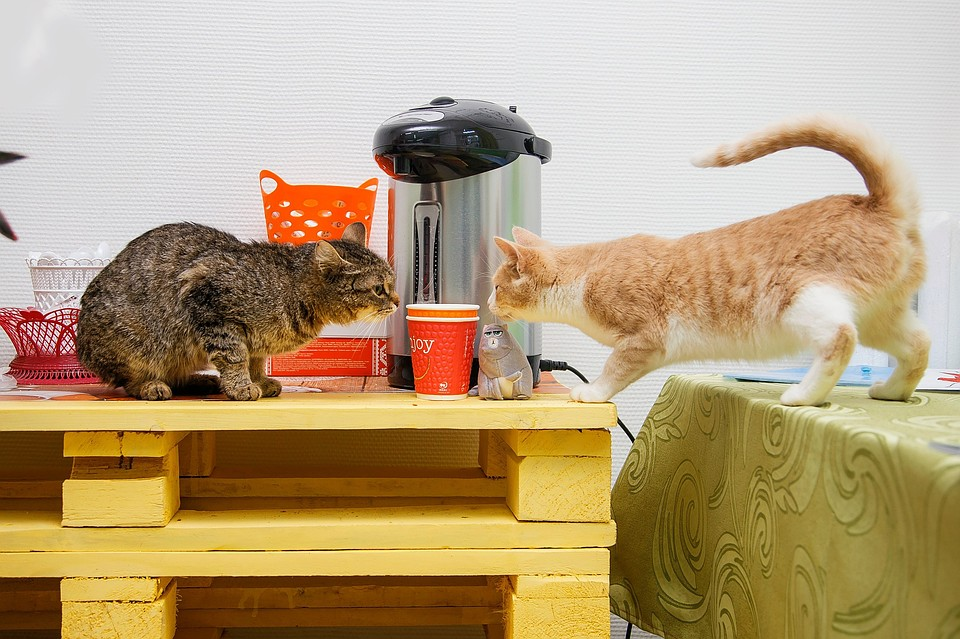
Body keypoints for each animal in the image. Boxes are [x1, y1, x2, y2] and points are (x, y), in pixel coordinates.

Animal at [77, 221, 398, 400]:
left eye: (392, 282)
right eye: (378, 288)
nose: (396, 300)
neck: (289, 288)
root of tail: (83, 349)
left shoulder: (257, 340)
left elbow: (255, 360)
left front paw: (258, 381)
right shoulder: (210, 303)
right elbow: (235, 357)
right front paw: (241, 386)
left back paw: (202, 381)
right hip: (138, 344)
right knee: (128, 381)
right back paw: (152, 386)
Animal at [489, 113, 929, 406]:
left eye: (494, 286)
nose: (489, 303)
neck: (585, 273)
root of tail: (877, 204)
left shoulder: (644, 338)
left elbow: (613, 370)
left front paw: (591, 391)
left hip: (799, 299)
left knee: (840, 336)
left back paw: (803, 394)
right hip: (881, 318)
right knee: (918, 344)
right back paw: (892, 390)